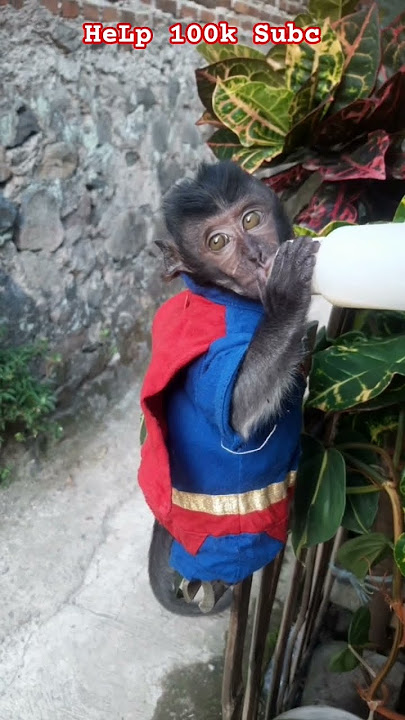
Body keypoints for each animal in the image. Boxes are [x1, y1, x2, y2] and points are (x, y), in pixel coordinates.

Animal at [138, 161, 319, 615]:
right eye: (217, 242)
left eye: (251, 220)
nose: (257, 256)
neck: (230, 298)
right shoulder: (205, 349)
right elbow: (237, 407)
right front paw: (288, 293)